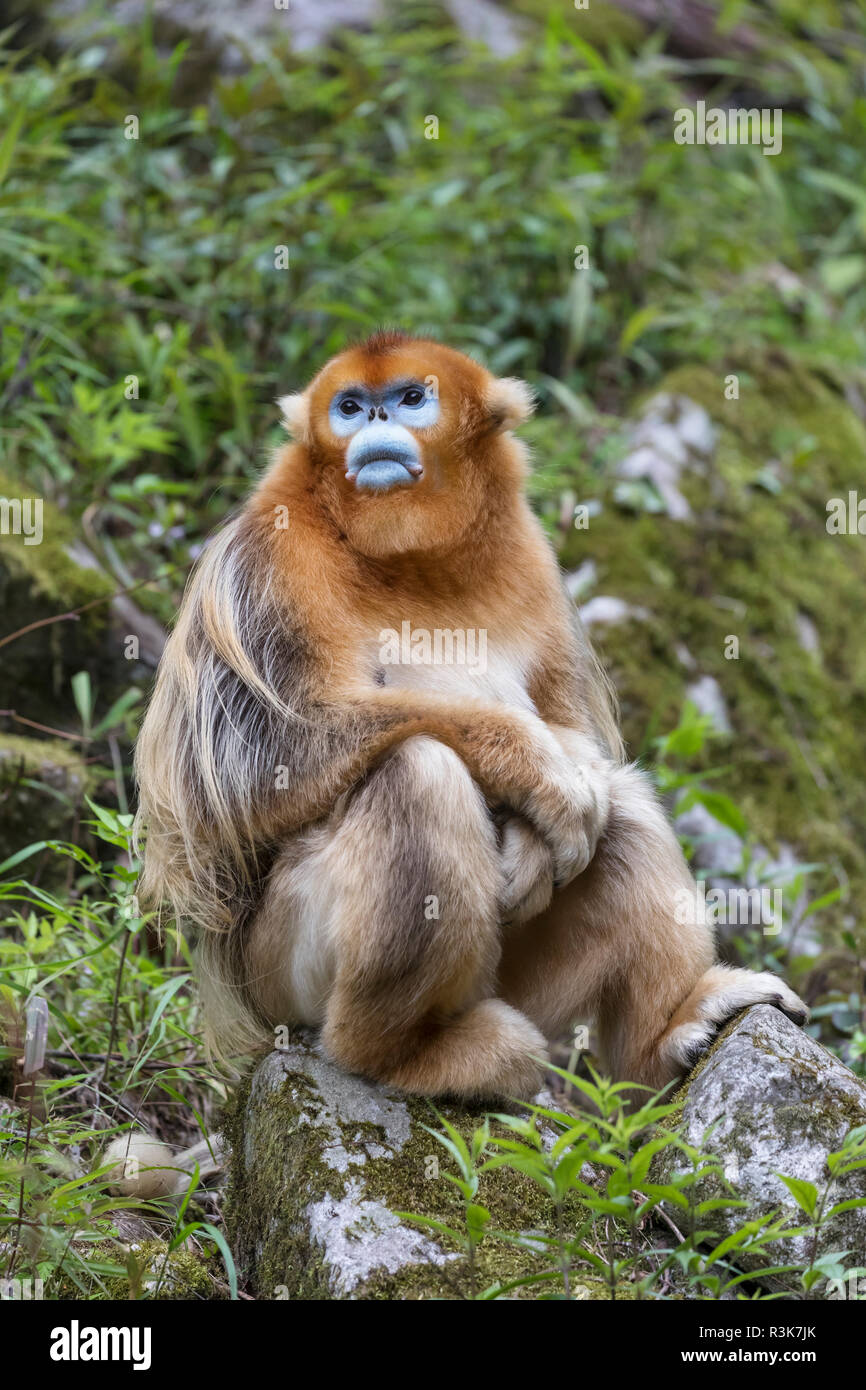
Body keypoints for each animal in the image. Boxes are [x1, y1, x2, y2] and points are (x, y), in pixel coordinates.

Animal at [134, 330, 807, 1101]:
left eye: (410, 398)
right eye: (349, 406)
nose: (374, 421)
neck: (405, 556)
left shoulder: (533, 555)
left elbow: (574, 738)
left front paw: (538, 829)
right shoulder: (268, 559)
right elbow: (256, 767)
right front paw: (532, 768)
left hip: (514, 980)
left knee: (622, 807)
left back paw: (664, 1042)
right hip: (283, 978)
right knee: (418, 771)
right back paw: (401, 1056)